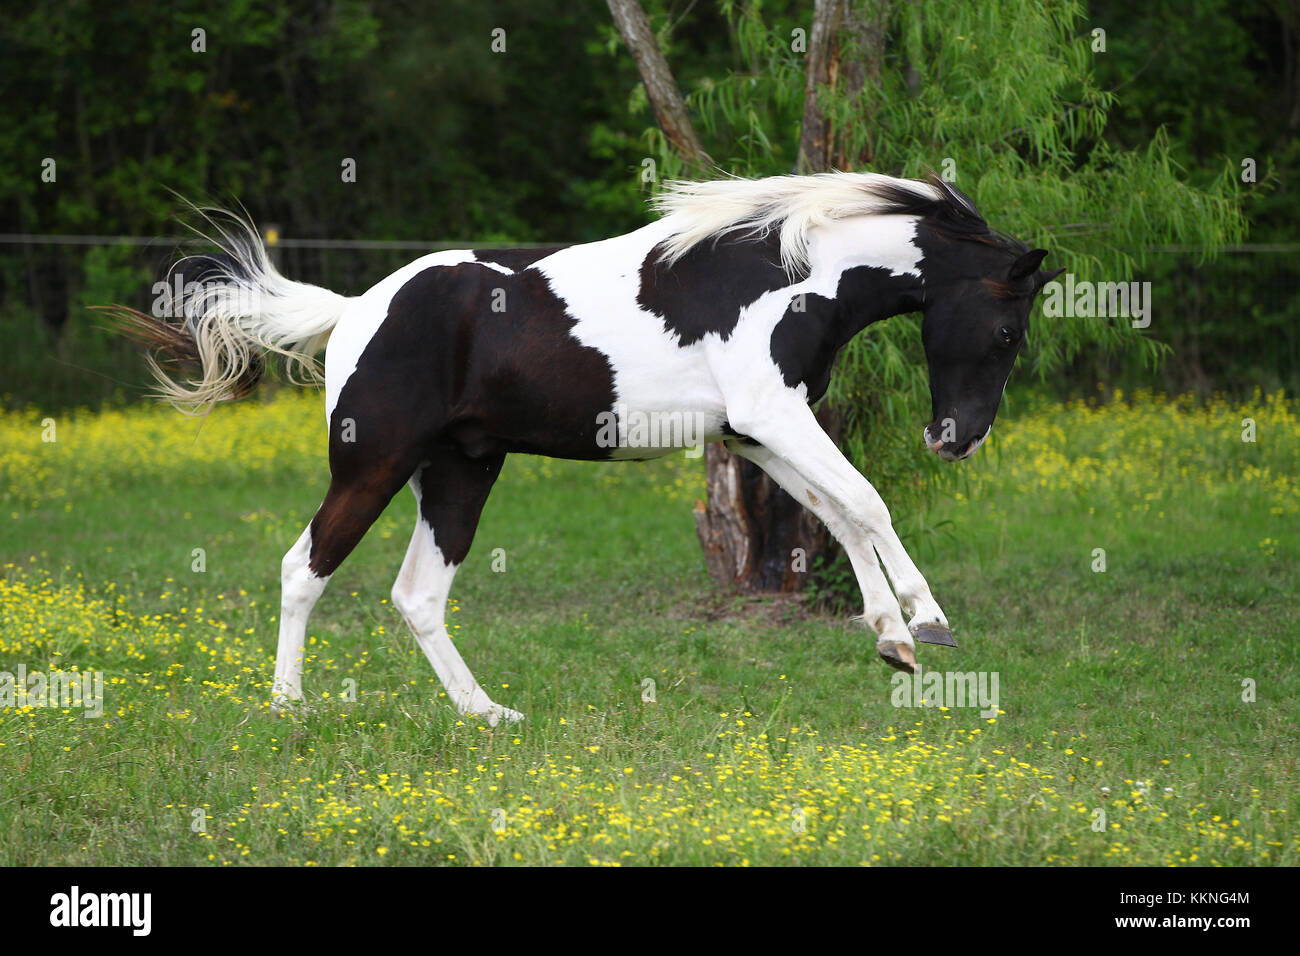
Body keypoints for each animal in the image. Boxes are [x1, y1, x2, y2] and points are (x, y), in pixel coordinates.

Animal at [104, 172, 1062, 725]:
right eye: (1008, 328)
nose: (955, 440)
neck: (788, 273)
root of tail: (352, 312)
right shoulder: (775, 417)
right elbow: (866, 502)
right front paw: (927, 624)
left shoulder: (758, 433)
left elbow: (840, 515)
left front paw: (893, 639)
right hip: (373, 465)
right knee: (303, 569)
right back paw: (289, 708)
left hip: (459, 471)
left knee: (417, 595)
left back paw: (488, 715)